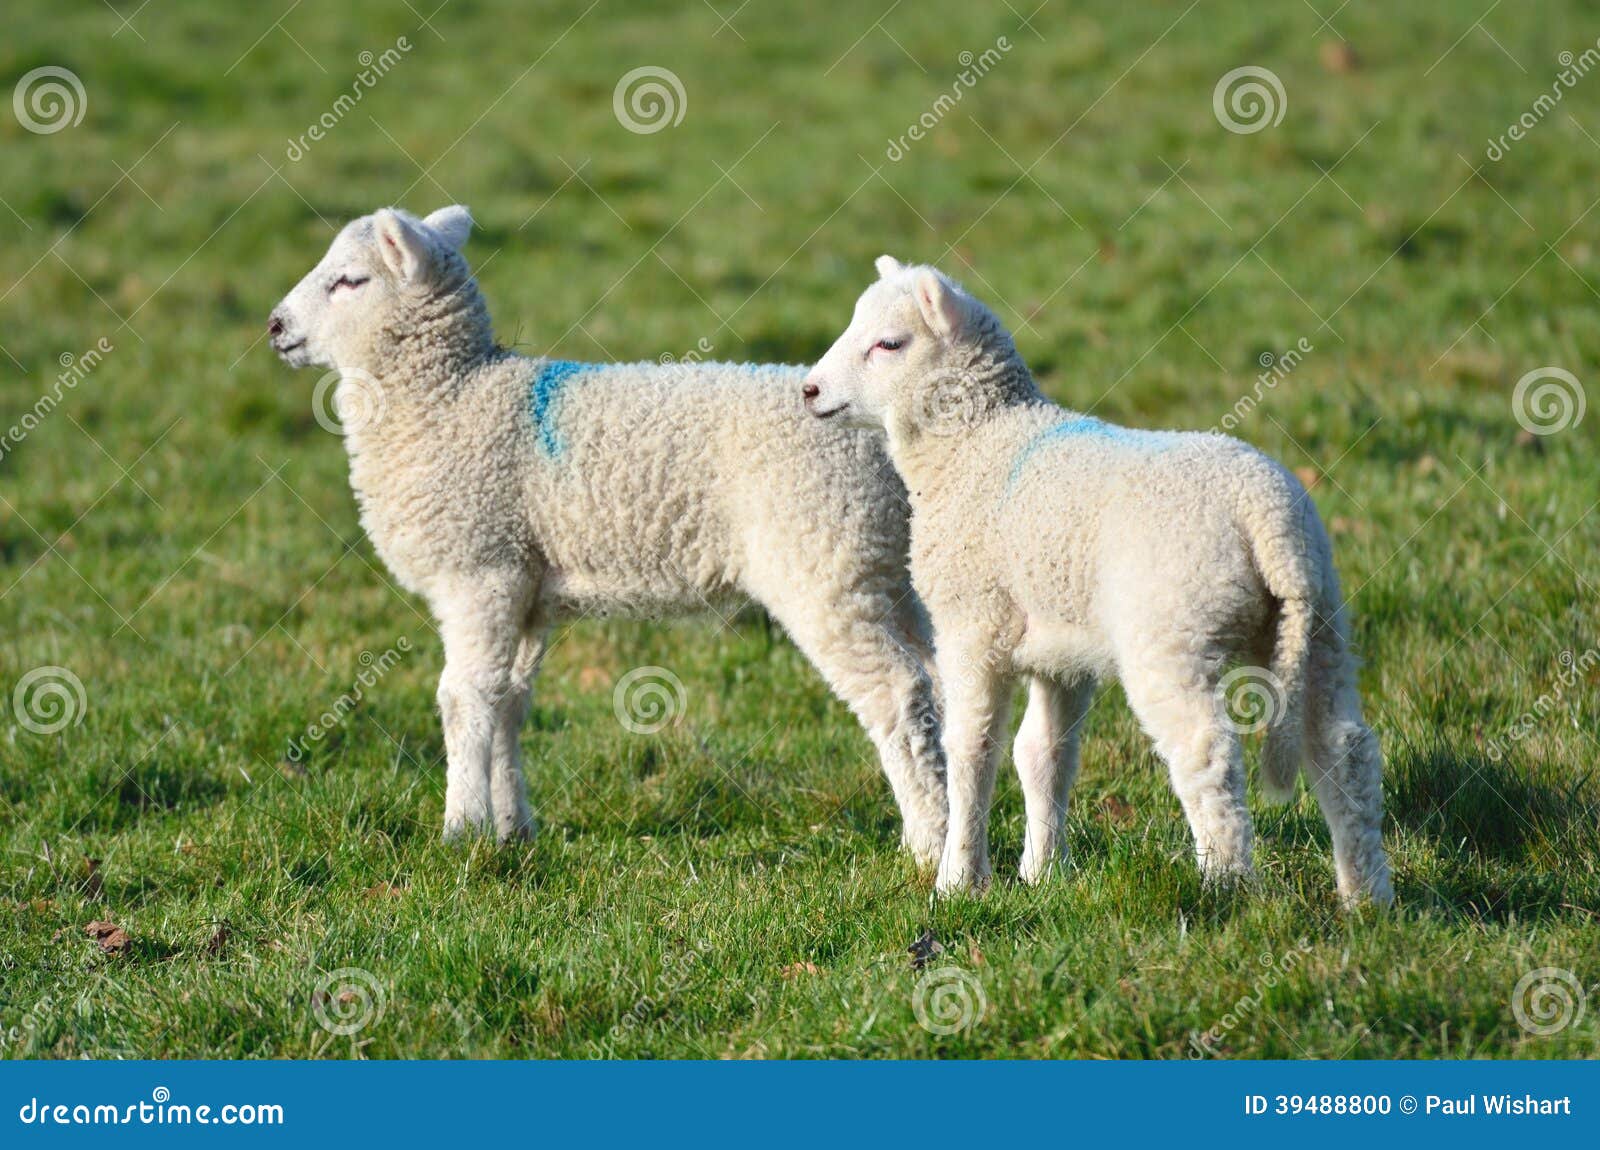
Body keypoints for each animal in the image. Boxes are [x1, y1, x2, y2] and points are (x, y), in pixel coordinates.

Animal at [266, 206, 949, 862]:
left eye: (350, 281)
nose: (274, 325)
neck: (448, 397)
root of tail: (880, 439)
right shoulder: (524, 589)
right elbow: (510, 704)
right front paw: (512, 831)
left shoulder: (480, 569)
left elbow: (465, 701)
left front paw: (460, 830)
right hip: (887, 568)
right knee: (940, 682)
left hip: (824, 561)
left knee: (895, 694)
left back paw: (925, 842)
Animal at [801, 256, 1393, 906]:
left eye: (889, 344)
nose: (809, 390)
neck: (977, 443)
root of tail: (1269, 518)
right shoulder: (1061, 651)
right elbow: (1043, 755)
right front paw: (1042, 873)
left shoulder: (972, 624)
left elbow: (971, 751)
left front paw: (959, 882)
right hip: (1320, 624)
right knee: (1344, 748)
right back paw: (1366, 898)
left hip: (1172, 634)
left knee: (1207, 751)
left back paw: (1225, 885)